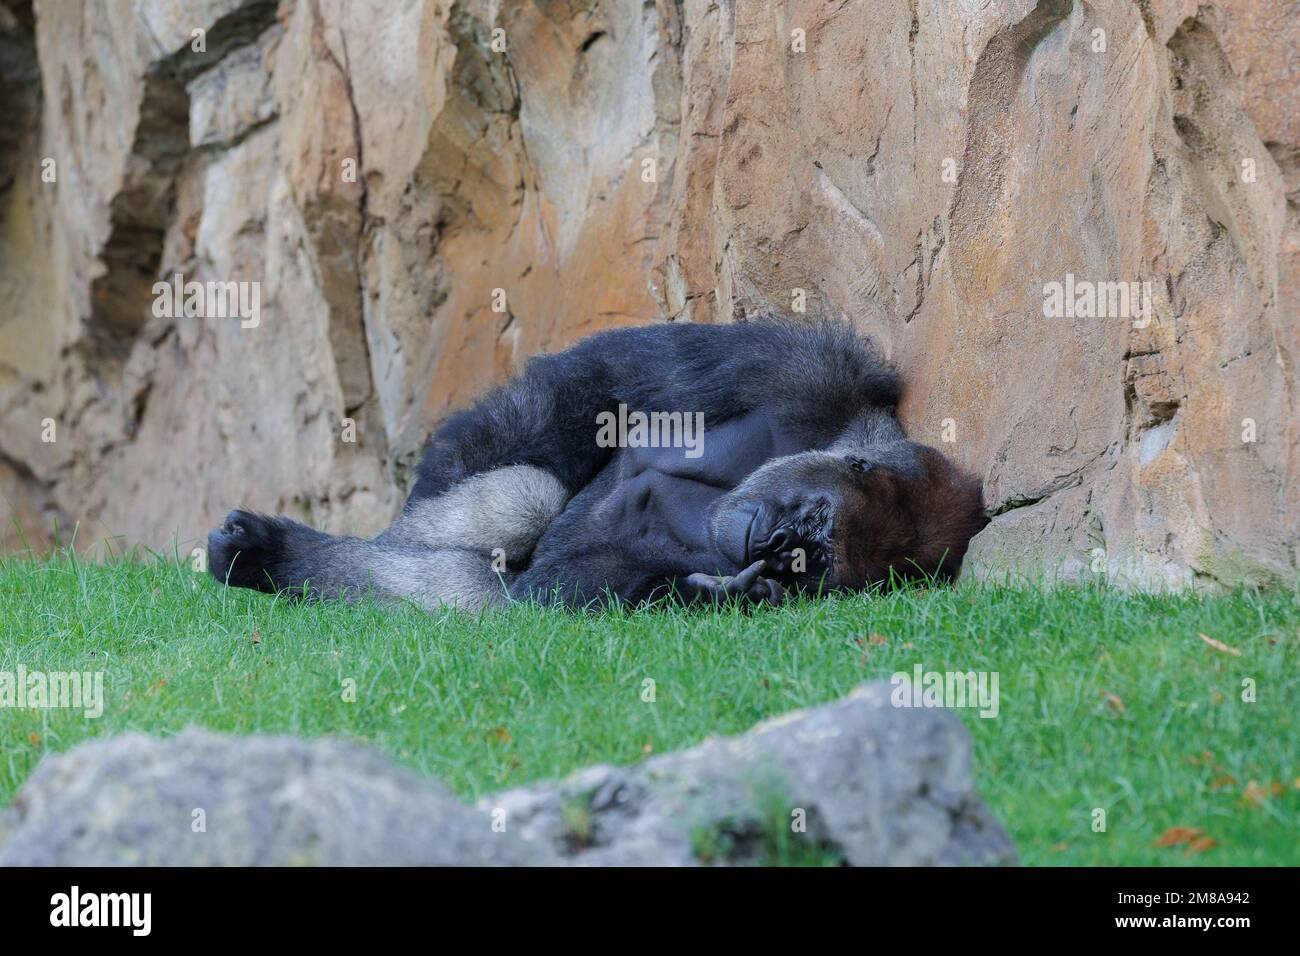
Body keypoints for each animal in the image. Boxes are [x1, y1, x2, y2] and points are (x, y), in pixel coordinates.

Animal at [207, 318, 988, 610]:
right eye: (810, 521)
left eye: (811, 560)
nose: (774, 543)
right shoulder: (806, 370)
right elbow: (585, 393)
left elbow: (577, 588)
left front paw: (733, 589)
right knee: (520, 495)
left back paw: (275, 559)